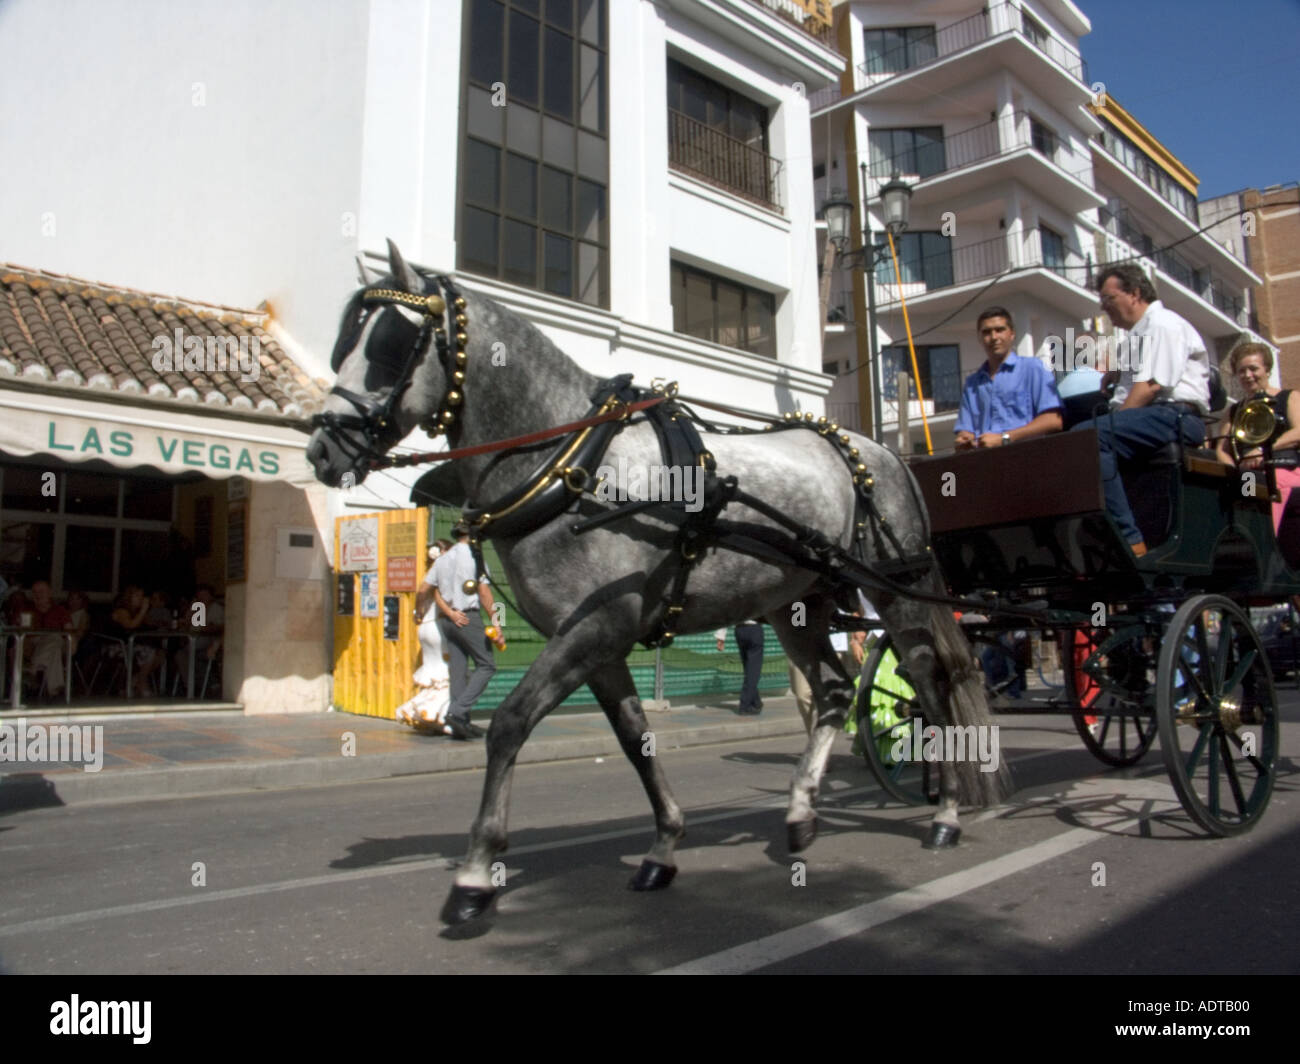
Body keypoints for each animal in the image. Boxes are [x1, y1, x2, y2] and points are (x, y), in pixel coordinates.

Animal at [306, 241, 1013, 925]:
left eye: (390, 345)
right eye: (346, 344)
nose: (321, 450)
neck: (573, 466)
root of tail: (884, 453)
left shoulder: (598, 625)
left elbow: (510, 722)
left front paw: (476, 874)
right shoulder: (597, 643)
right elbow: (634, 738)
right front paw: (664, 846)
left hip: (896, 593)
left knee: (929, 685)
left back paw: (946, 811)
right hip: (797, 602)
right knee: (836, 691)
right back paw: (801, 811)